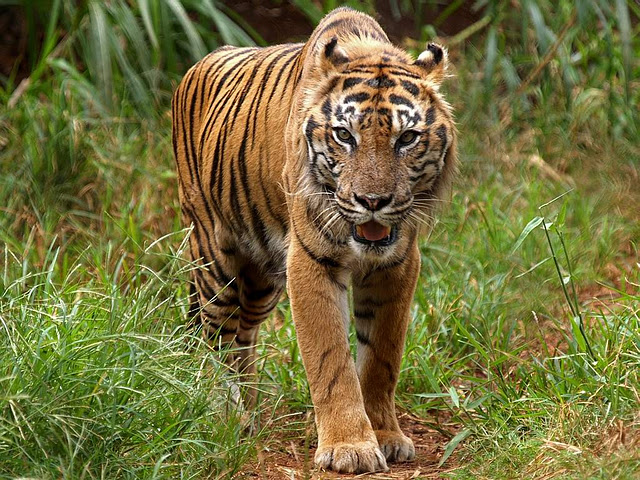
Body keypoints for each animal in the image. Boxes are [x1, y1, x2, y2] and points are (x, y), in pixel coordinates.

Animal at [172, 6, 456, 474]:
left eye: (407, 138)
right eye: (344, 135)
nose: (372, 201)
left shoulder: (396, 264)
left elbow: (381, 358)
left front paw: (384, 435)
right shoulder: (310, 259)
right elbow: (331, 359)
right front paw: (349, 447)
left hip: (260, 282)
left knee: (243, 336)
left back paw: (249, 412)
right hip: (215, 259)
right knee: (213, 335)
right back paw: (224, 415)